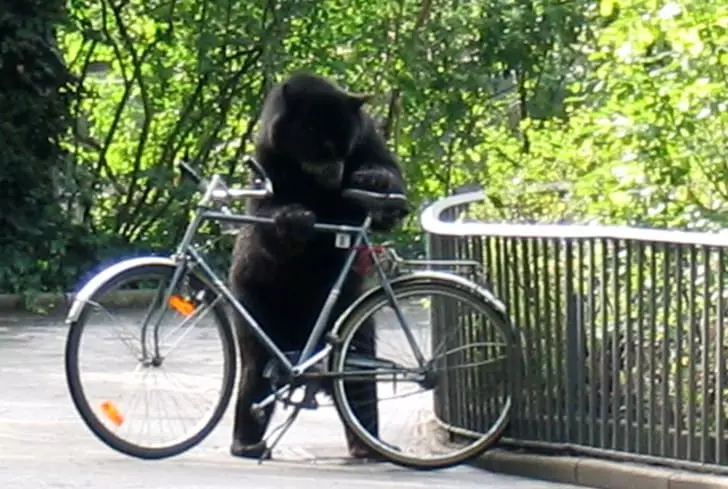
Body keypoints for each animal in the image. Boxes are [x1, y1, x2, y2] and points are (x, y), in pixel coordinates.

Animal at [229, 71, 410, 458]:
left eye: (344, 146)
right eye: (320, 144)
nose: (336, 175)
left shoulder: (367, 138)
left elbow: (389, 175)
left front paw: (374, 179)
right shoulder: (269, 164)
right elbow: (266, 215)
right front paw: (294, 218)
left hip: (350, 314)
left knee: (359, 378)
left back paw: (366, 443)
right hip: (256, 299)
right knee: (254, 367)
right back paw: (246, 440)